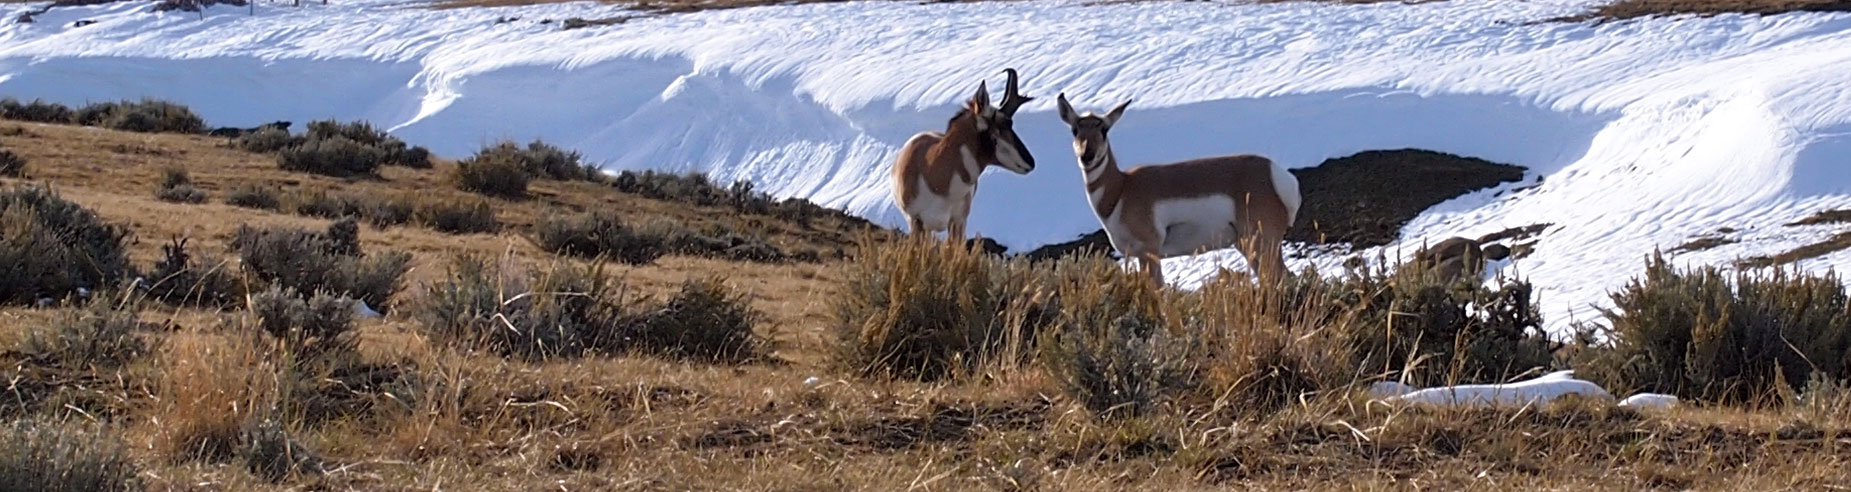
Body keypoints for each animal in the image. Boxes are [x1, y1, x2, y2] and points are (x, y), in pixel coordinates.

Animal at [1055, 94, 1302, 285]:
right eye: (1075, 130)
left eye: (1104, 129)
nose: (1087, 156)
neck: (1121, 189)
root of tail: (1276, 173)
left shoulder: (1149, 252)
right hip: (1248, 244)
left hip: (1261, 242)